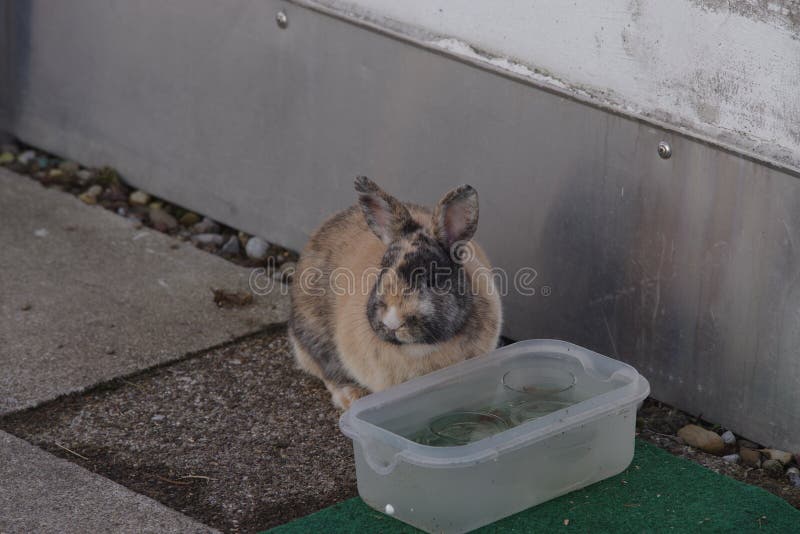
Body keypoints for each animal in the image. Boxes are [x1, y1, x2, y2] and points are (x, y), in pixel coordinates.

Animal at [289, 177, 502, 410]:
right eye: (383, 269)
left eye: (434, 278)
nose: (392, 322)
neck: (419, 349)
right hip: (315, 334)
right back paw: (351, 396)